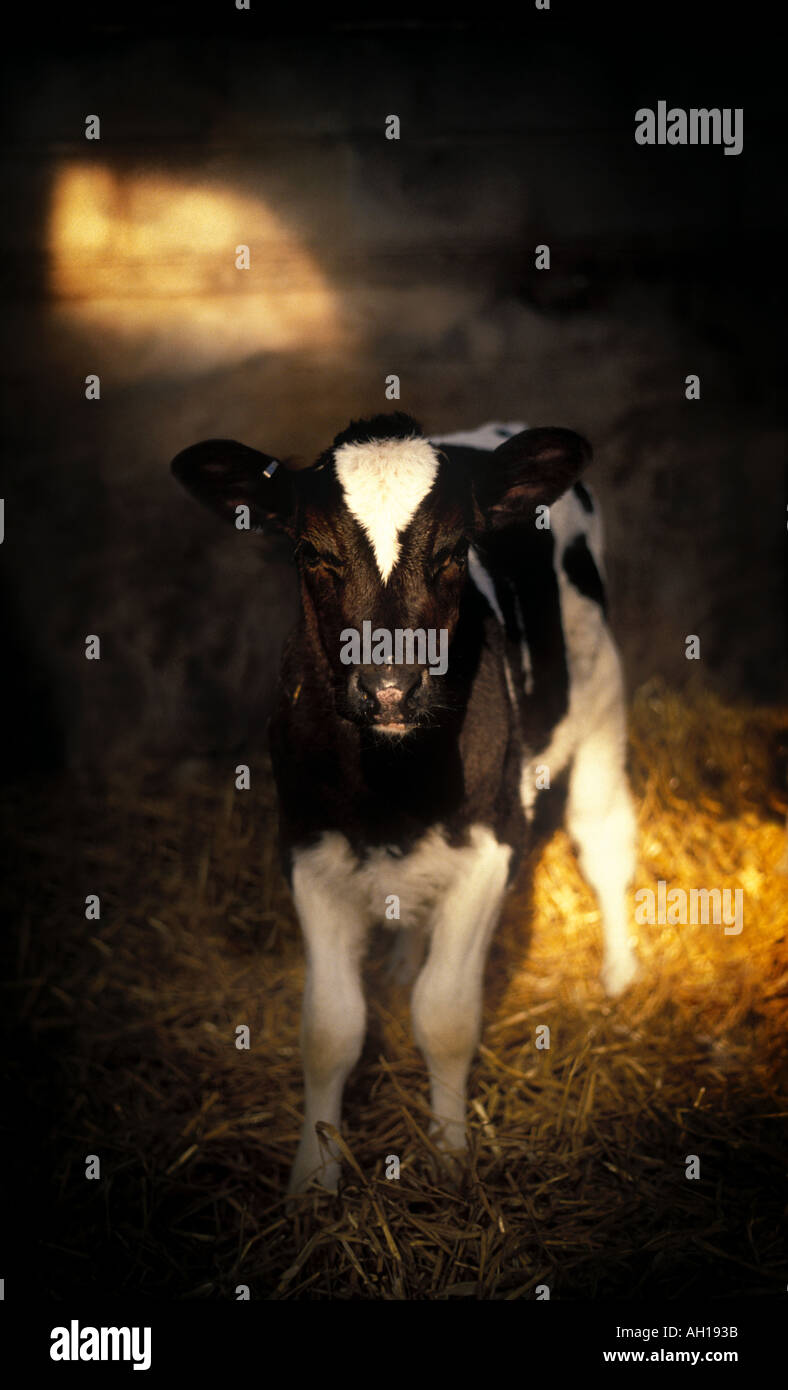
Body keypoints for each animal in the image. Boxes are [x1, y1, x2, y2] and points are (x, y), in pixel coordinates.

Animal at [171, 413, 639, 1194]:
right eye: (311, 552)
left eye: (454, 551)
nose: (390, 686)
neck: (391, 790)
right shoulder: (305, 847)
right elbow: (330, 1029)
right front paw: (313, 1179)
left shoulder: (491, 847)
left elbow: (444, 1015)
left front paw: (449, 1154)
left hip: (601, 696)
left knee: (603, 839)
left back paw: (623, 971)